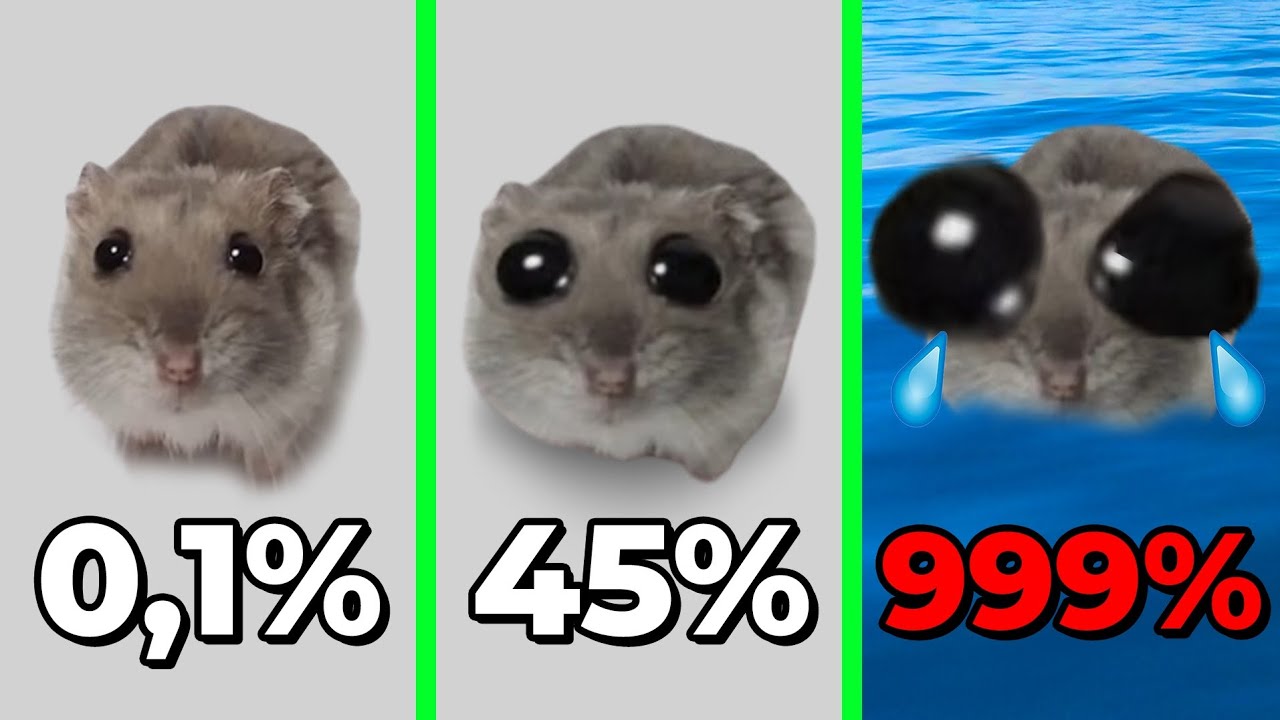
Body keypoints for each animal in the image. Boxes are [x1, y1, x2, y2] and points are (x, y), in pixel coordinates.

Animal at [52, 105, 360, 481]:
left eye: (248, 256)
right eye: (108, 252)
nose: (179, 367)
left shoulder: (298, 395)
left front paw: (266, 479)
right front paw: (138, 455)